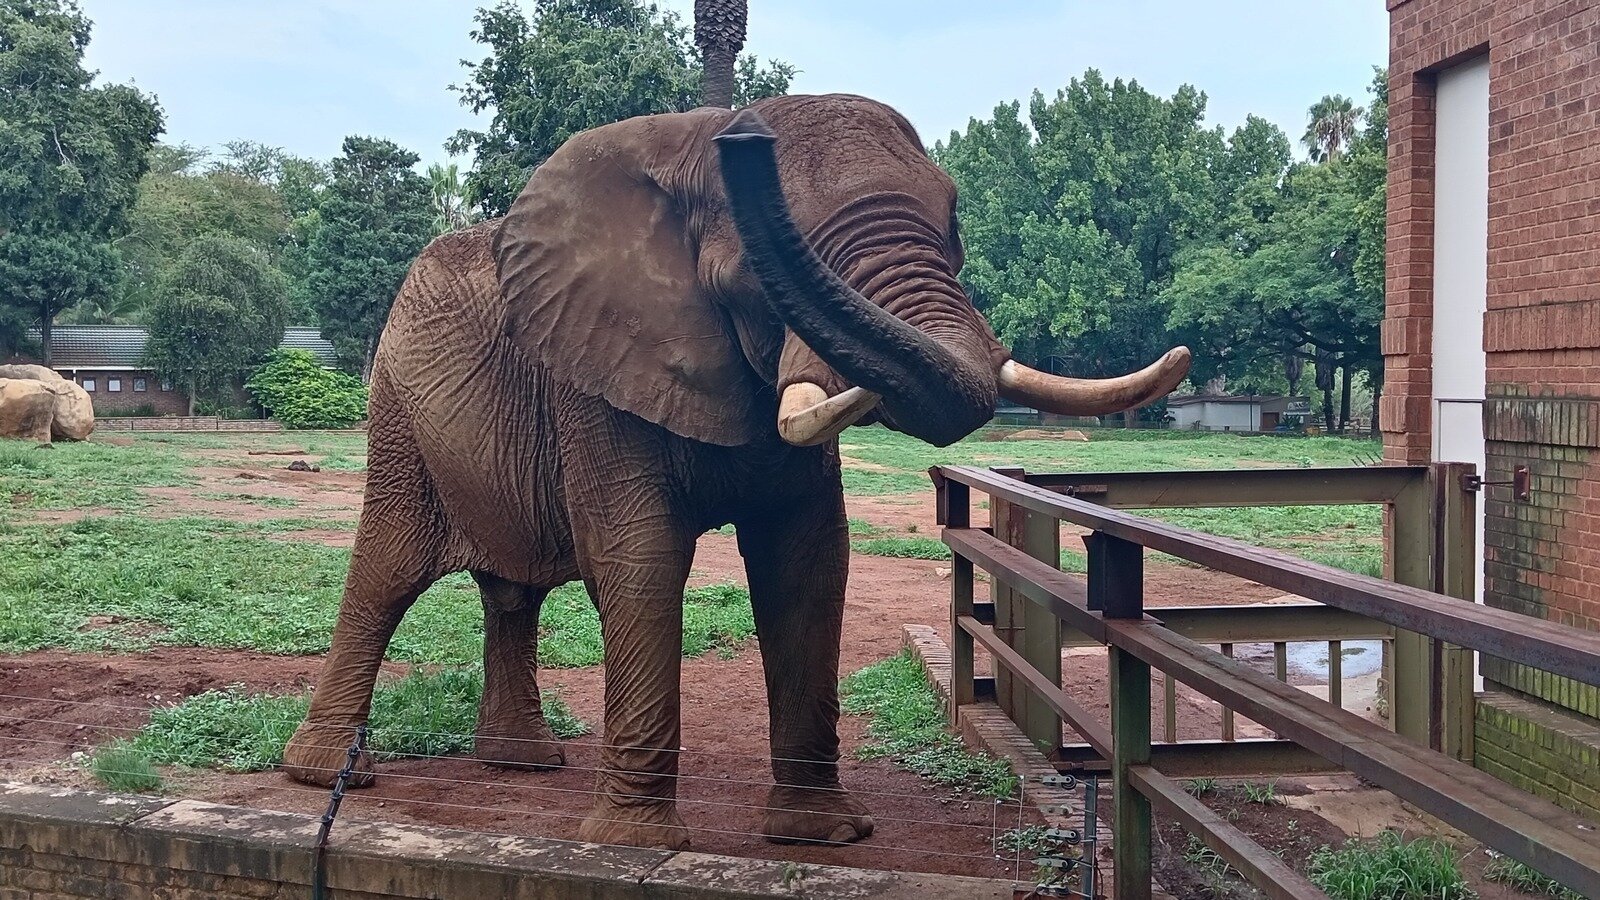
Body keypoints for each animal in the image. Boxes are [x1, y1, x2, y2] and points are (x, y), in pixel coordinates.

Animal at [281, 94, 1189, 851]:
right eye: (757, 273)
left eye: (956, 228)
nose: (747, 142)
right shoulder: (595, 374)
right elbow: (640, 558)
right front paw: (633, 844)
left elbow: (808, 561)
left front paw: (822, 836)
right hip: (398, 415)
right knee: (388, 570)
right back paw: (327, 775)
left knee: (513, 592)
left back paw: (524, 764)